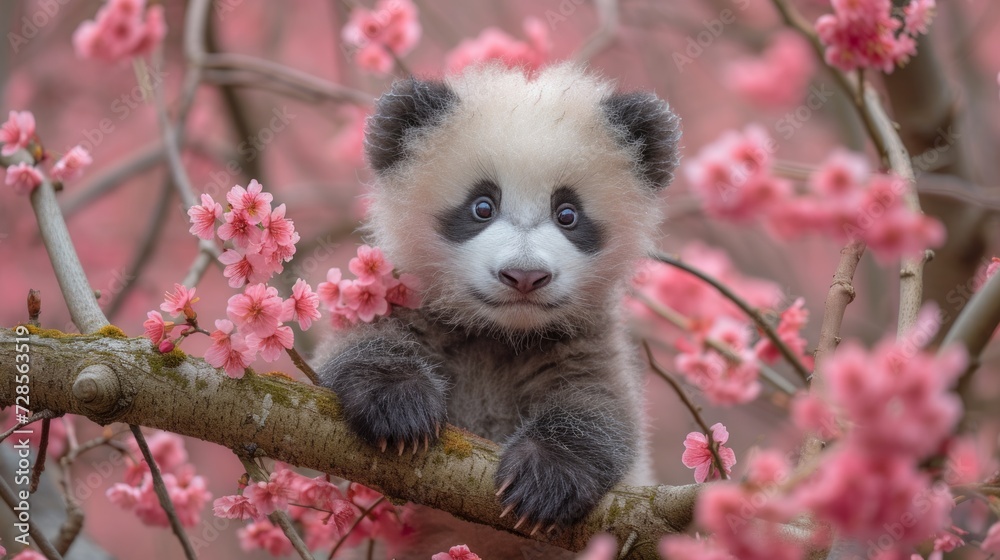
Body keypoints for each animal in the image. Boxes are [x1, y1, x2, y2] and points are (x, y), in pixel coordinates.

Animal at [317, 63, 681, 558]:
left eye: (567, 214)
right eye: (482, 206)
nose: (524, 276)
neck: (499, 332)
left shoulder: (583, 337)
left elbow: (602, 407)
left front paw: (544, 477)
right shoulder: (406, 300)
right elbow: (353, 352)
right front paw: (399, 408)